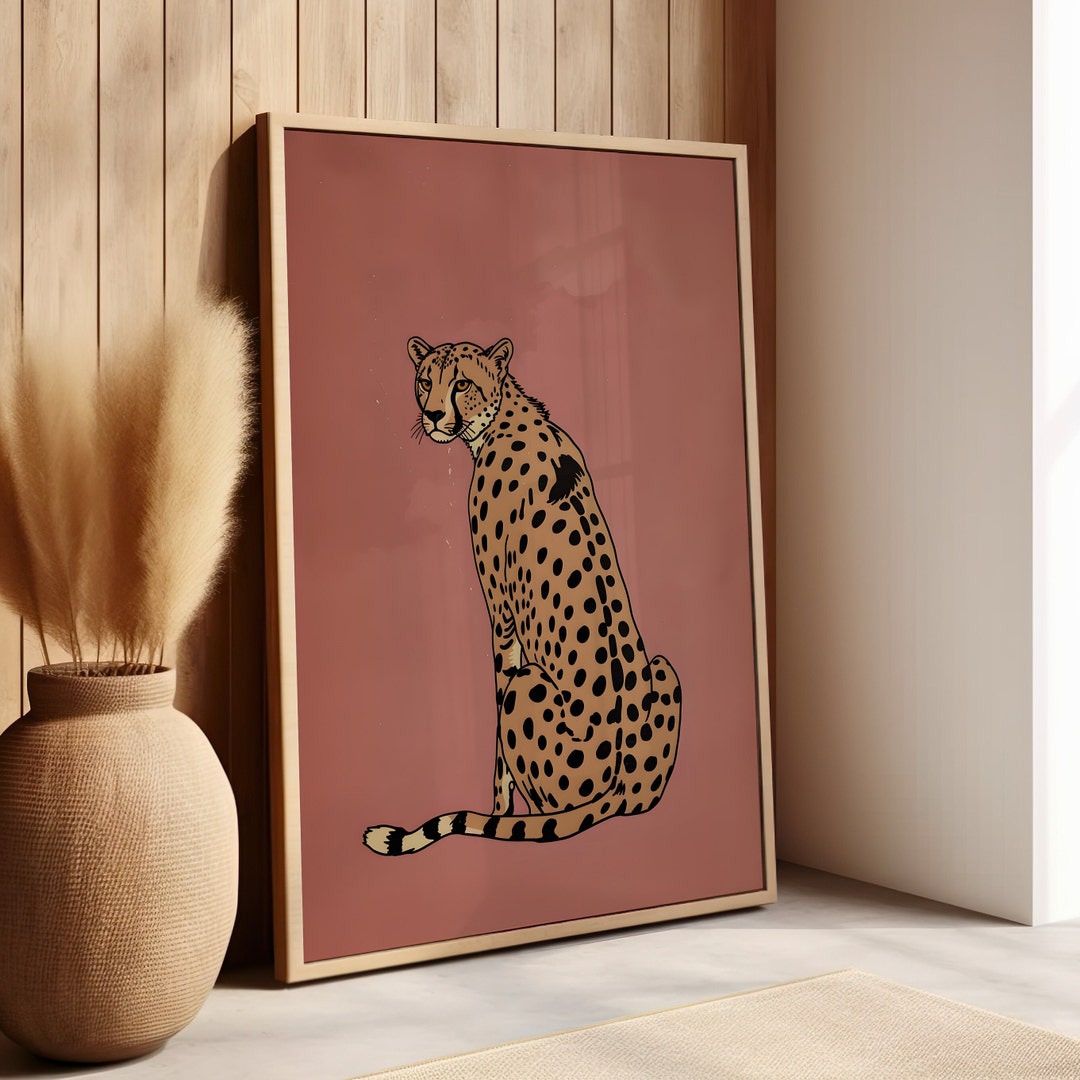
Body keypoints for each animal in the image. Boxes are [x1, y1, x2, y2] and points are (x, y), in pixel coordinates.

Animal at [362, 336, 681, 855]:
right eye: (426, 380)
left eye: (462, 384)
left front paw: (499, 813)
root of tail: (622, 790)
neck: (499, 420)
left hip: (529, 686)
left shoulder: (501, 612)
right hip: (665, 666)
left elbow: (496, 716)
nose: (433, 415)